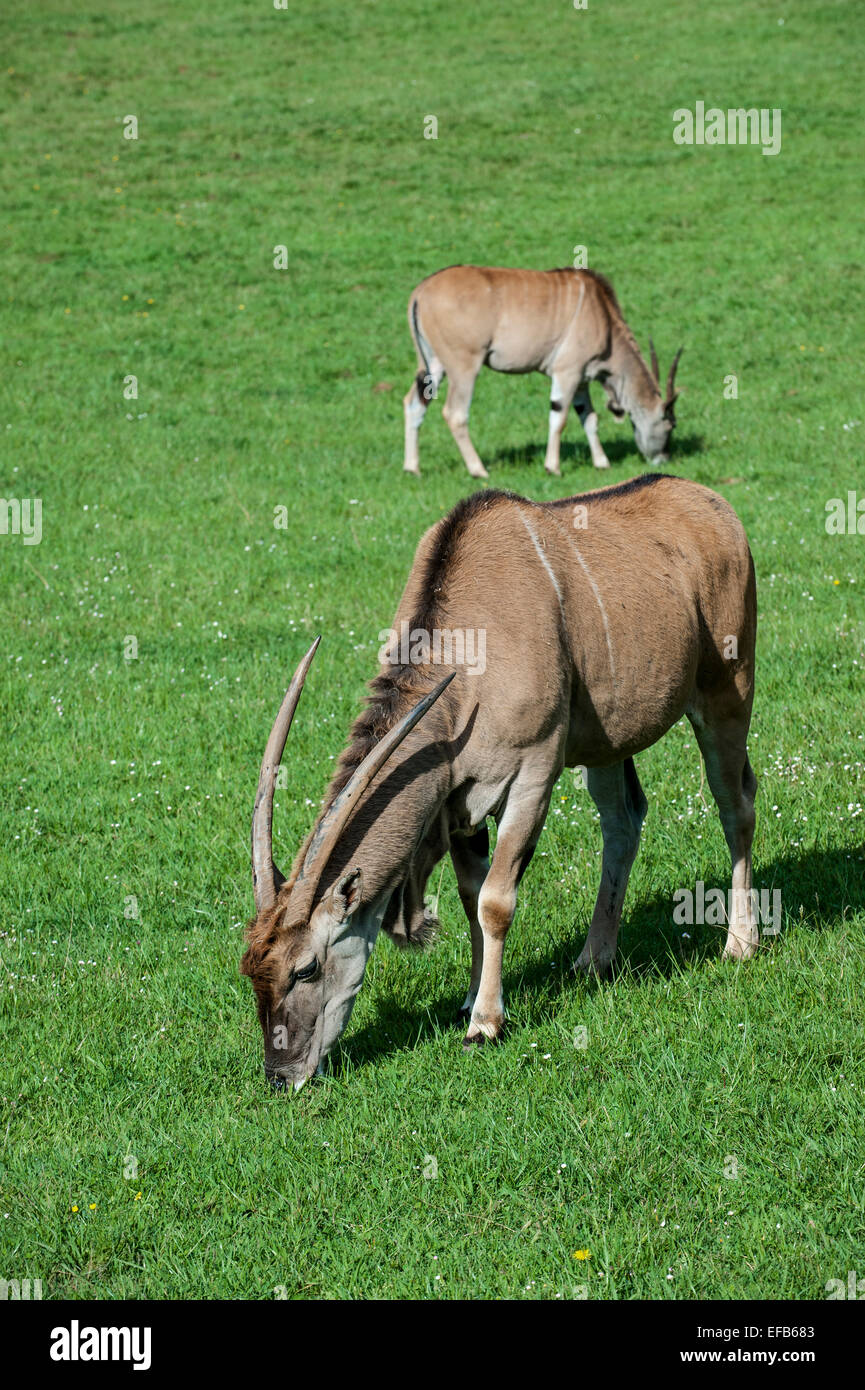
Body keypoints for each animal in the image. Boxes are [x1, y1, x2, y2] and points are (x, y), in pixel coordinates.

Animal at [241, 473, 758, 1090]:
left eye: (306, 968)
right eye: (251, 969)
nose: (280, 1075)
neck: (468, 658)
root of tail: (714, 504)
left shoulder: (533, 776)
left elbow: (494, 901)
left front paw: (485, 1023)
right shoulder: (459, 801)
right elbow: (470, 895)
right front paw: (469, 999)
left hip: (727, 697)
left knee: (736, 806)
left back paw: (740, 942)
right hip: (606, 745)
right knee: (624, 821)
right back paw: (594, 959)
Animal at [402, 265, 682, 478]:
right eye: (670, 424)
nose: (663, 459)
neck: (602, 315)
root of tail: (421, 291)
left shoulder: (580, 381)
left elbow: (590, 418)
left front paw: (602, 463)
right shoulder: (566, 373)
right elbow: (559, 418)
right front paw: (552, 467)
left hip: (433, 366)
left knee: (414, 403)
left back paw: (412, 468)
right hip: (464, 368)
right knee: (455, 413)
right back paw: (478, 470)